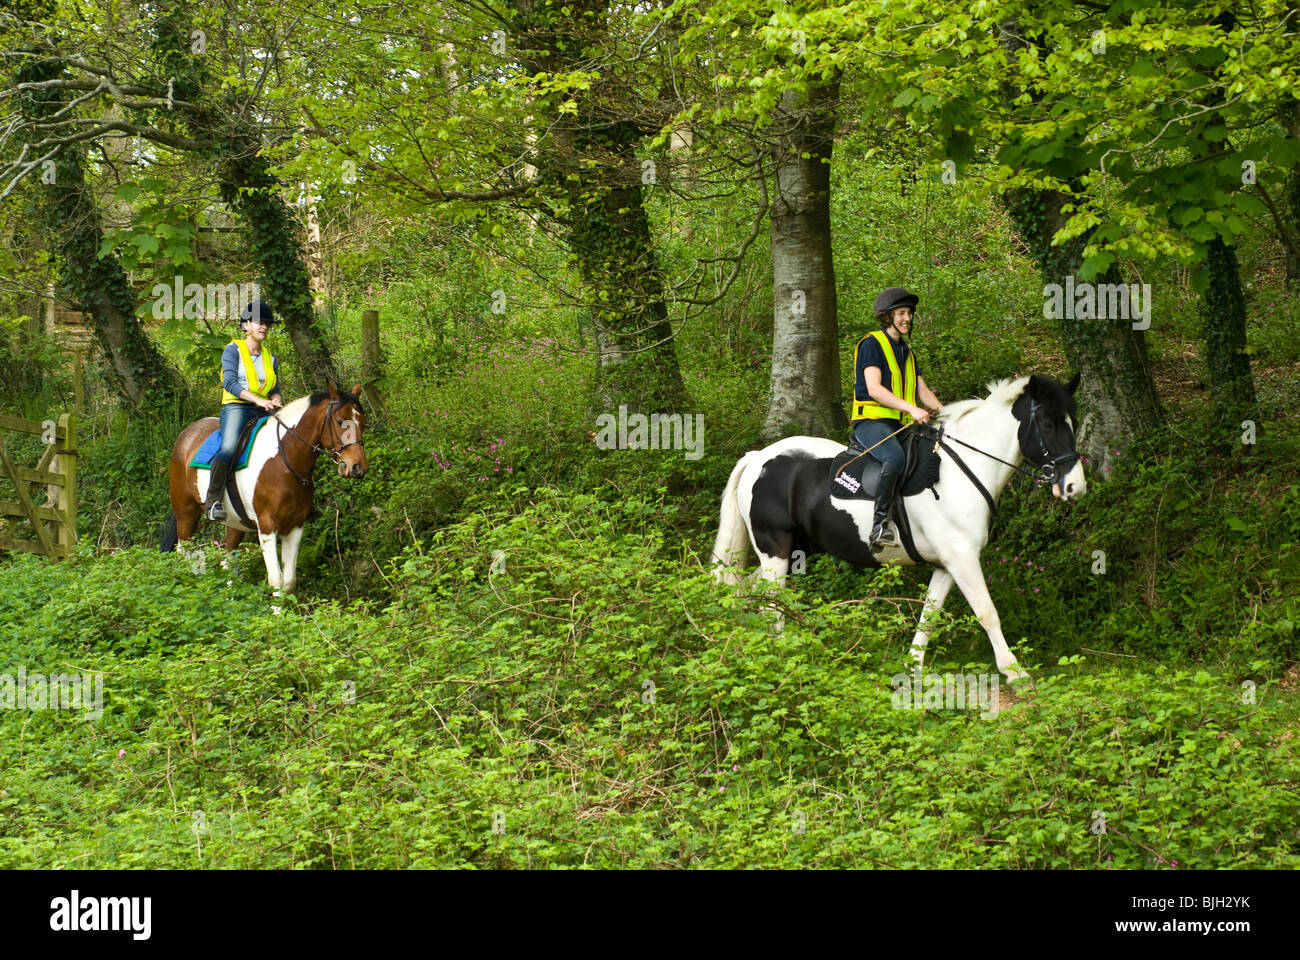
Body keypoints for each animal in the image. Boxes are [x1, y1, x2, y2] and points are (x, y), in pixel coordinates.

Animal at [160, 383, 369, 594]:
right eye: (340, 421)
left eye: (363, 423)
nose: (357, 468)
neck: (283, 462)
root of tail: (187, 433)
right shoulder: (267, 527)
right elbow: (276, 579)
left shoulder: (295, 526)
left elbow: (289, 581)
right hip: (185, 513)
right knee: (183, 553)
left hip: (234, 521)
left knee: (228, 560)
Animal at [711, 374, 1086, 685]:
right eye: (1048, 424)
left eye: (1073, 423)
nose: (1075, 487)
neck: (963, 468)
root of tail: (758, 457)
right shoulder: (962, 558)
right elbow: (987, 611)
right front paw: (1013, 671)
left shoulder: (946, 565)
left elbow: (929, 616)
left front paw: (912, 669)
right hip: (775, 548)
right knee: (770, 603)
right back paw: (777, 654)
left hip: (792, 552)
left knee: (752, 592)